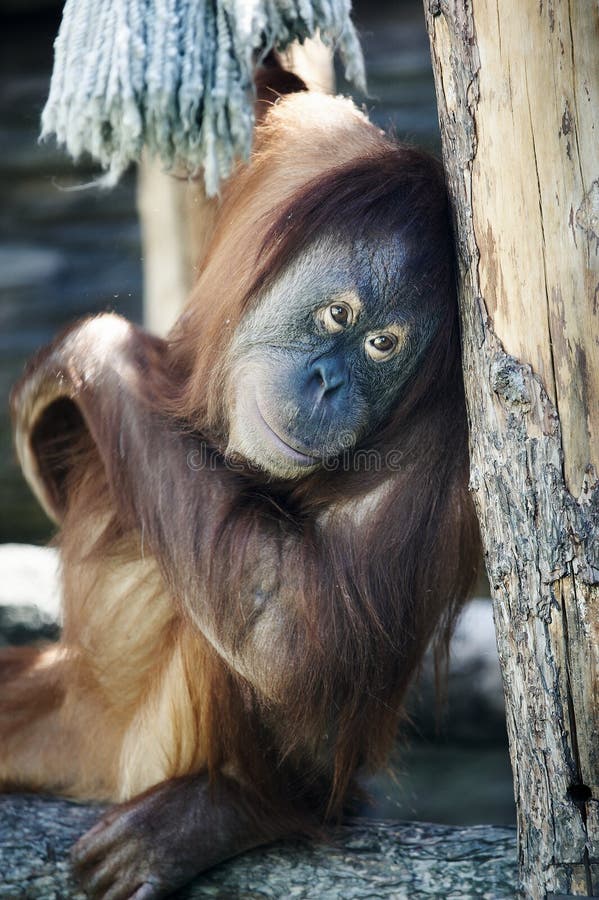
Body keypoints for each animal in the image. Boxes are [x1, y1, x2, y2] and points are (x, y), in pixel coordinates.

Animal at [1, 73, 479, 899]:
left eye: (383, 346)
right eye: (338, 314)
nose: (328, 384)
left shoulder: (441, 444)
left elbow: (292, 639)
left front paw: (91, 349)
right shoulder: (315, 139)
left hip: (136, 754)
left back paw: (236, 810)